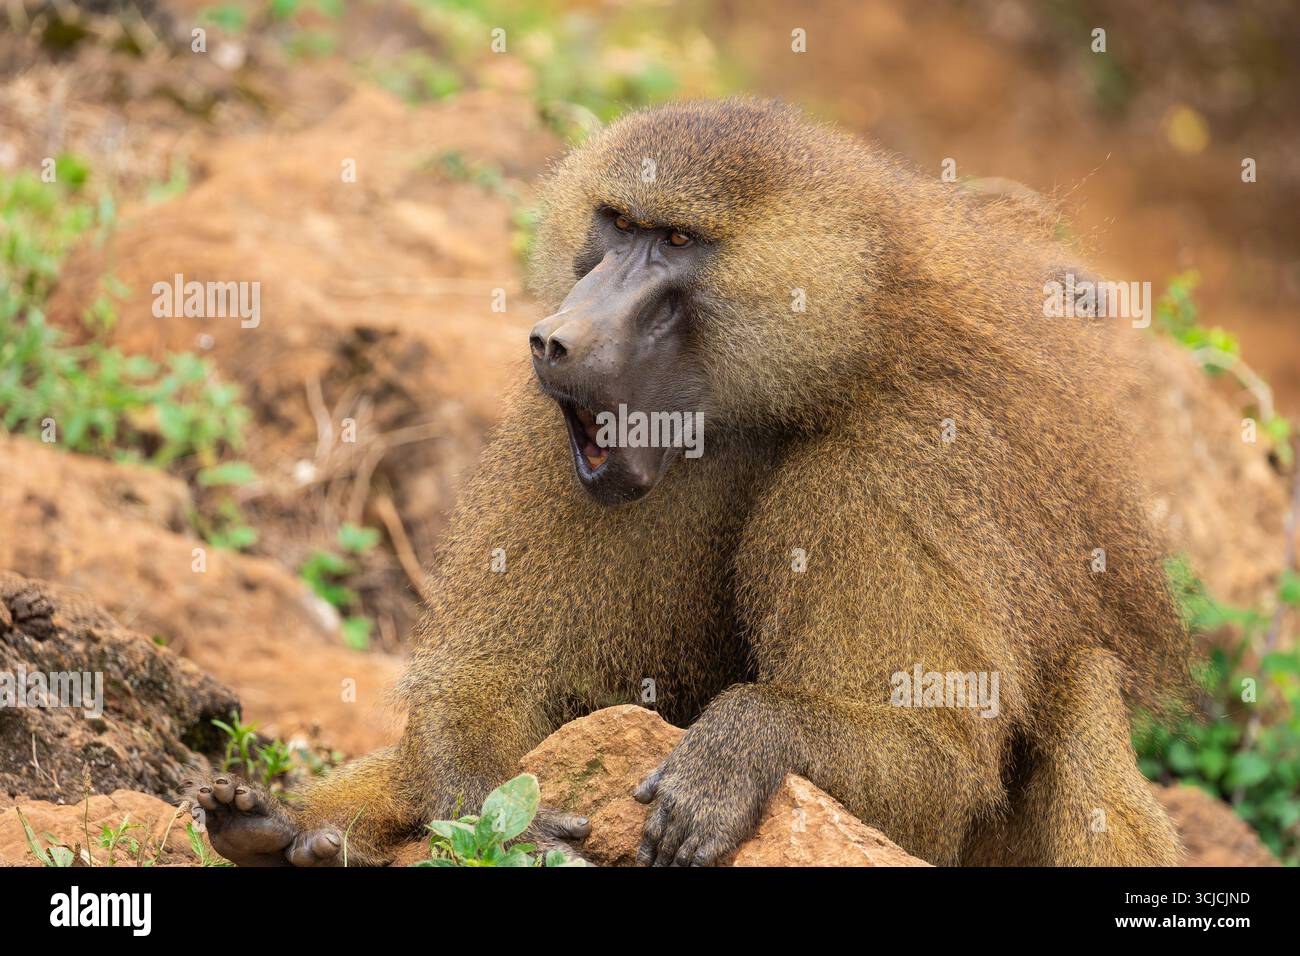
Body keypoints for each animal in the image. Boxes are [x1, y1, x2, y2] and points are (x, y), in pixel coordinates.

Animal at [187, 97, 1188, 867]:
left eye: (675, 240)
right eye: (619, 226)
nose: (557, 339)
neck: (832, 360)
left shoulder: (906, 465)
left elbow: (932, 763)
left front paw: (742, 747)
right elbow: (499, 677)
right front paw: (487, 802)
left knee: (1084, 695)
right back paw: (284, 835)